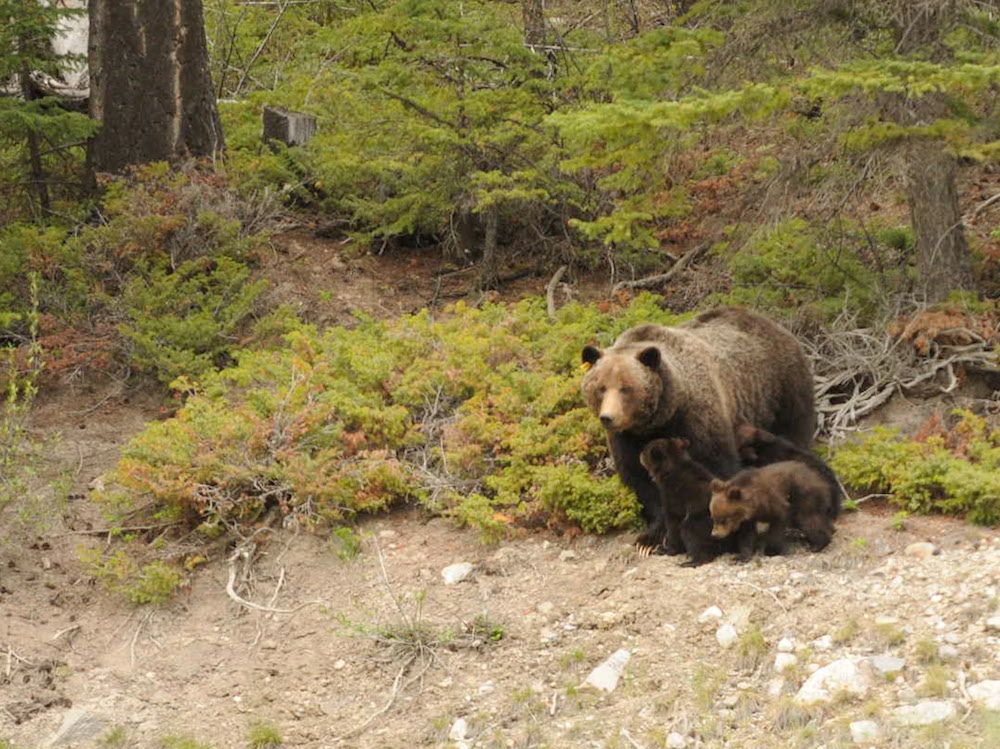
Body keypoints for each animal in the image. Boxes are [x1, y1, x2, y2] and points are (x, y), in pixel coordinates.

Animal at [581, 307, 815, 555]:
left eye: (626, 388)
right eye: (600, 388)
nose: (608, 417)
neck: (659, 418)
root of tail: (772, 323)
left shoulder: (696, 417)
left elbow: (716, 469)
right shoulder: (627, 438)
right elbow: (640, 480)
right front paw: (649, 538)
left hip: (782, 390)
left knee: (793, 436)